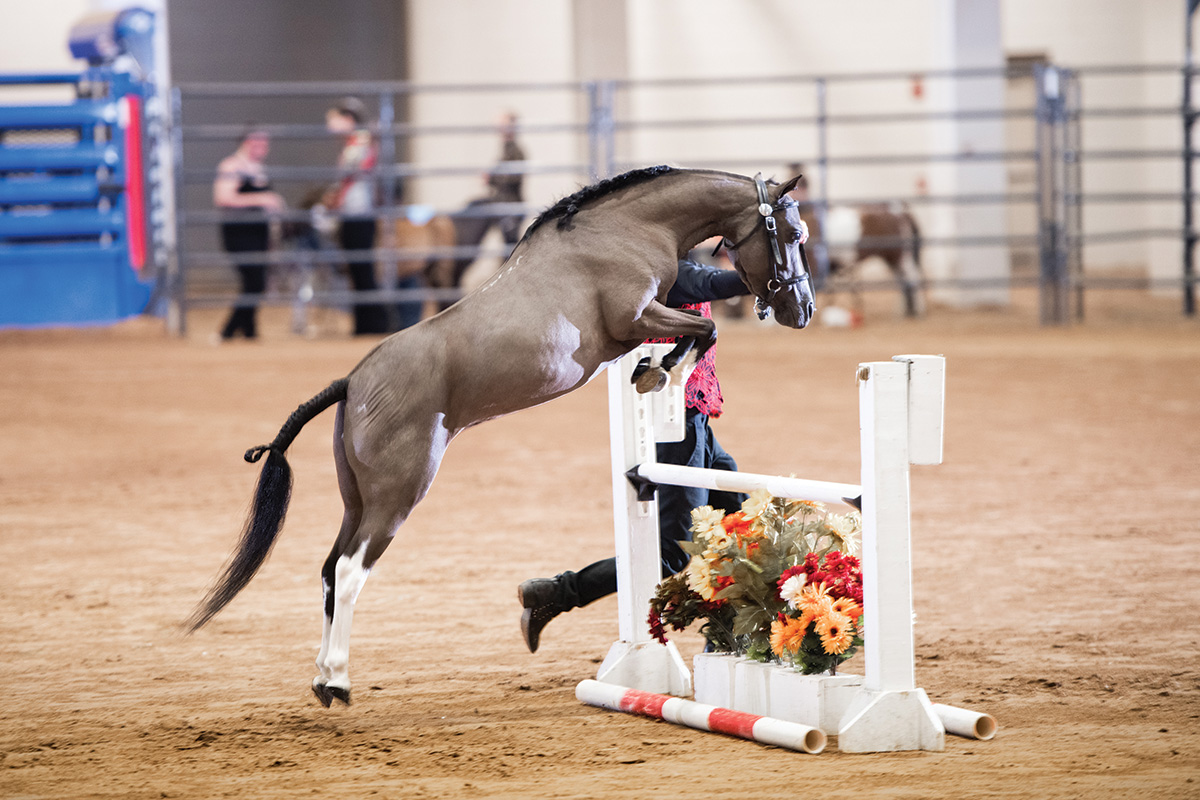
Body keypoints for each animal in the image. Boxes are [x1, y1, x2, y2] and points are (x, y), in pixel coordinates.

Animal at [187, 166, 816, 708]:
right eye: (790, 233)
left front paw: (655, 371)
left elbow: (699, 330)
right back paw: (337, 682)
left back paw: (322, 677)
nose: (802, 309)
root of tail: (353, 382)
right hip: (397, 495)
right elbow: (702, 329)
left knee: (327, 571)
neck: (628, 229)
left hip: (356, 498)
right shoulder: (638, 318)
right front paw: (659, 375)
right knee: (348, 571)